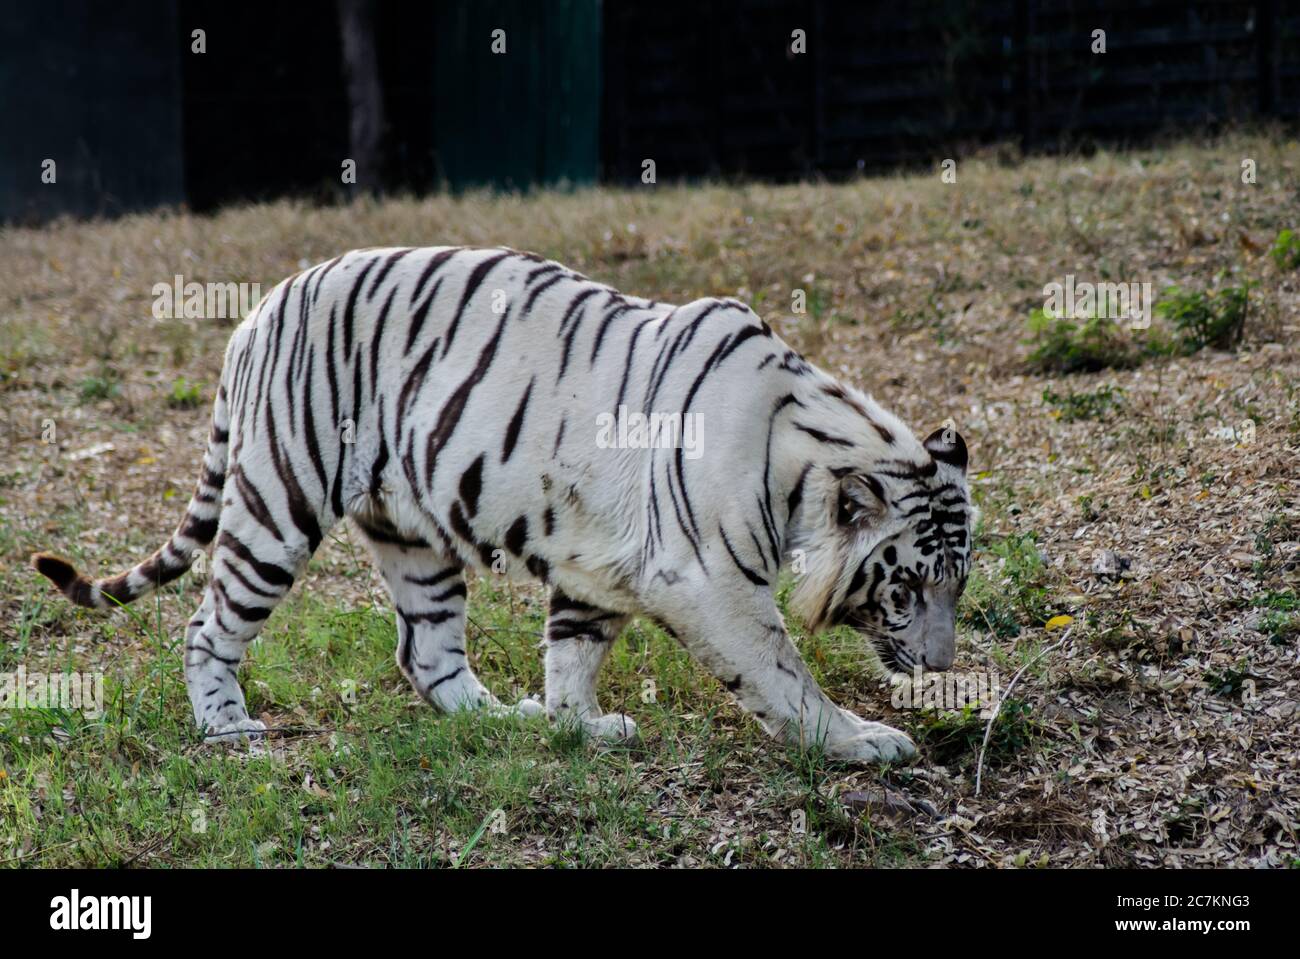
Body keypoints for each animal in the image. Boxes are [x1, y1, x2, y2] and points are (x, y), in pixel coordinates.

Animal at [32, 245, 974, 763]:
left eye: (956, 586)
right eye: (904, 588)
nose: (938, 667)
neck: (799, 468)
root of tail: (255, 312)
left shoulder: (601, 567)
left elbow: (572, 653)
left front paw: (572, 726)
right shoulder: (707, 581)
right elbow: (785, 677)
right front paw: (861, 740)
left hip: (415, 538)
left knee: (425, 651)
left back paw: (499, 718)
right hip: (278, 503)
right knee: (208, 623)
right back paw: (227, 728)